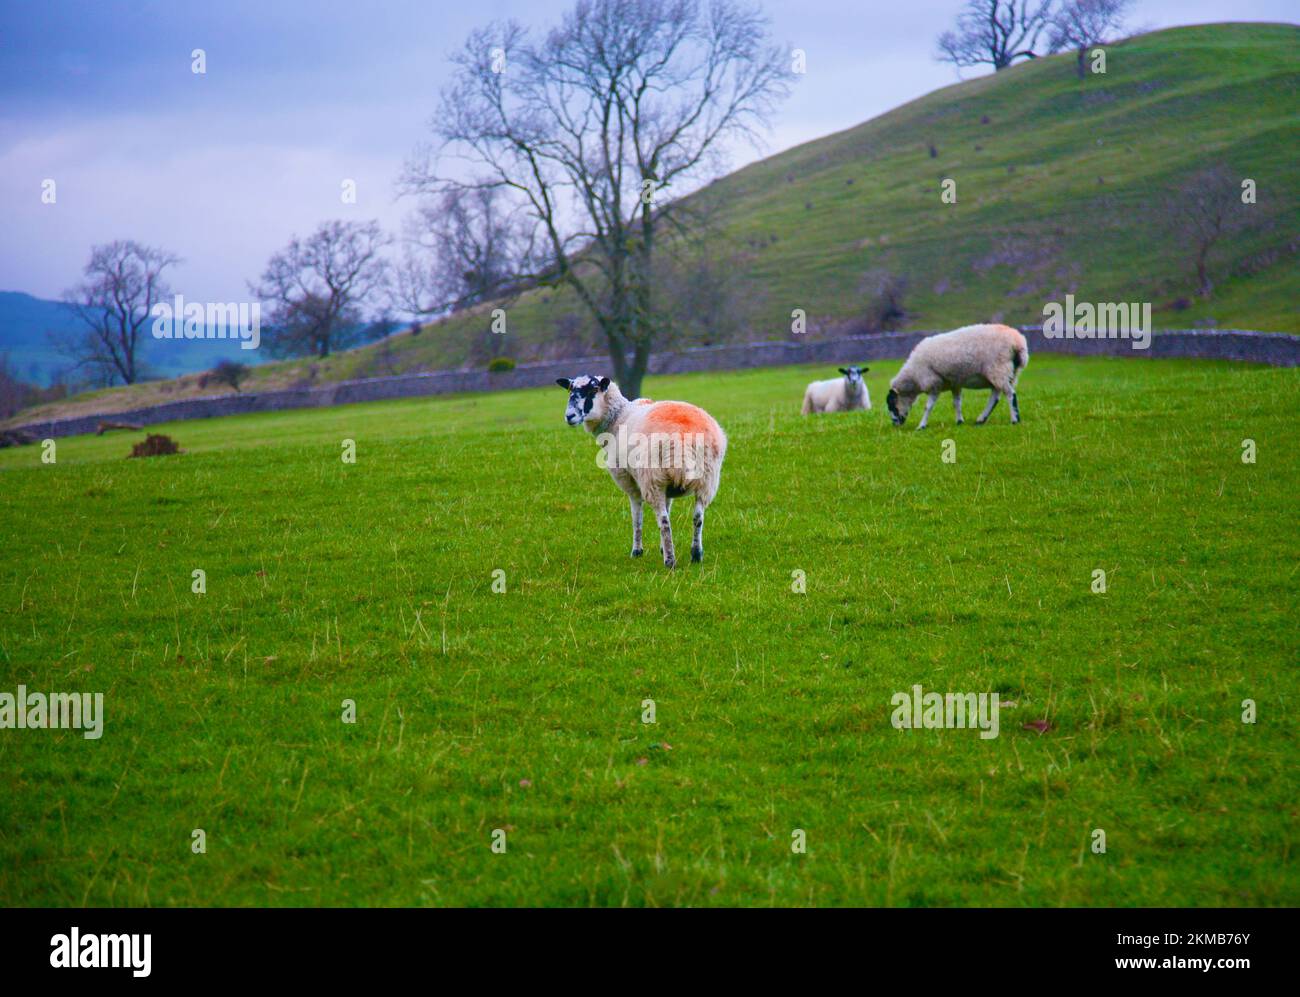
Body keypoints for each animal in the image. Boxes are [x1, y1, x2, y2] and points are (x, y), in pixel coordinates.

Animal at [557, 375, 727, 568]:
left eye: (593, 390)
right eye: (570, 390)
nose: (569, 416)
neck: (618, 418)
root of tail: (682, 439)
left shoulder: (628, 479)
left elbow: (636, 517)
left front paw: (637, 551)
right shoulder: (668, 485)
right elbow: (668, 507)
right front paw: (660, 547)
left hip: (651, 478)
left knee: (664, 521)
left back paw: (670, 561)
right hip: (706, 480)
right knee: (697, 517)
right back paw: (696, 555)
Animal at [885, 324, 1029, 430]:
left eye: (891, 405)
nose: (895, 425)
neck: (913, 378)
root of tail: (1018, 342)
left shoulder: (934, 383)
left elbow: (928, 407)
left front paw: (921, 426)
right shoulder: (954, 384)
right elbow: (957, 403)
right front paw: (959, 421)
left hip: (999, 369)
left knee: (1010, 394)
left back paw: (1015, 420)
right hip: (1004, 373)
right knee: (995, 397)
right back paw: (981, 419)